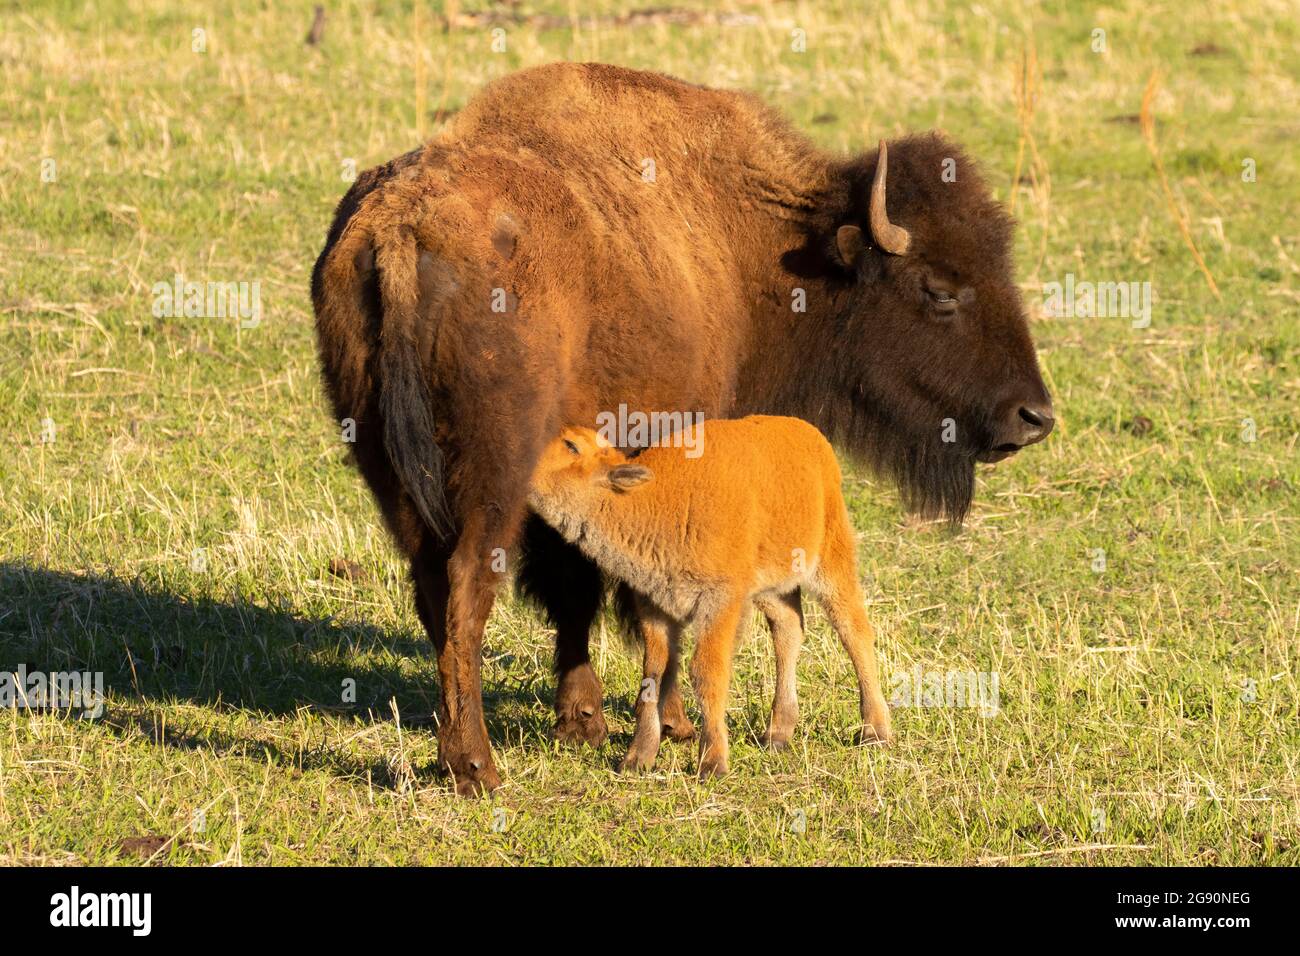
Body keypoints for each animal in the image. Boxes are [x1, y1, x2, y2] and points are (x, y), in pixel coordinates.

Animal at [312, 62, 1053, 795]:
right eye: (939, 290)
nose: (1035, 416)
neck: (763, 246)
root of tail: (405, 232)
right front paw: (671, 725)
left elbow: (578, 591)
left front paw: (585, 722)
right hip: (493, 474)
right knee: (469, 585)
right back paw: (477, 768)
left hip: (395, 471)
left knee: (433, 589)